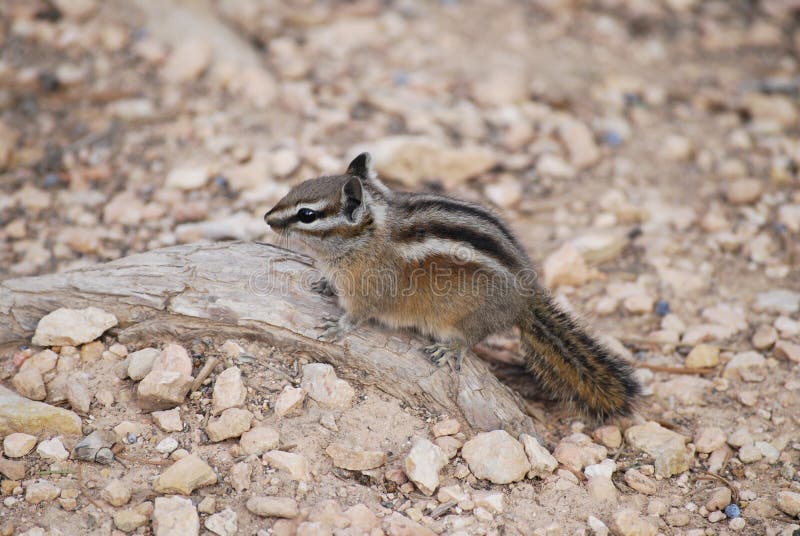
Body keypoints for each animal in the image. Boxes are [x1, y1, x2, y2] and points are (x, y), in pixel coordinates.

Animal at [264, 153, 641, 421]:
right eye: (295, 188)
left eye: (307, 215)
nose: (267, 218)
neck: (368, 236)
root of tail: (526, 299)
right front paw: (324, 284)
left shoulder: (370, 290)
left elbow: (357, 315)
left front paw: (338, 326)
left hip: (466, 317)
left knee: (471, 337)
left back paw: (451, 349)